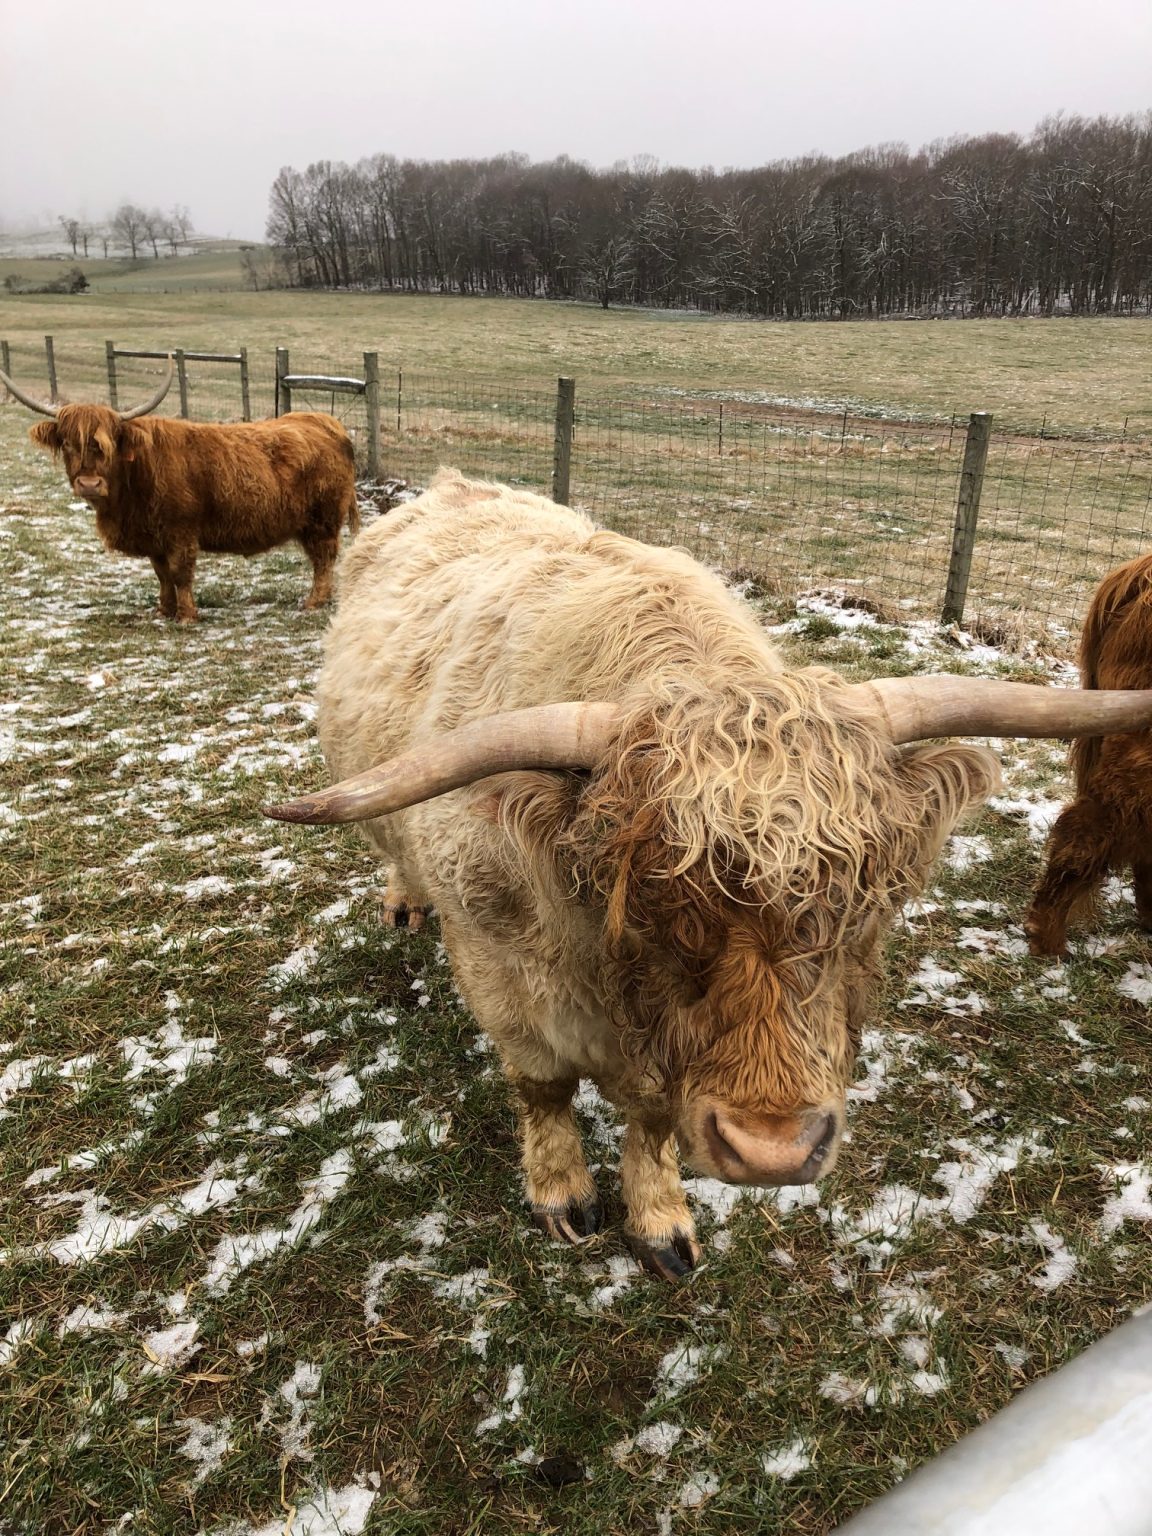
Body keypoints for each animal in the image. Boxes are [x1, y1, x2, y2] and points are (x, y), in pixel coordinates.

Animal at [1, 360, 359, 622]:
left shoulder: (181, 531)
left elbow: (180, 573)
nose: (89, 483)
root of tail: (327, 423)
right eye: (67, 444)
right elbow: (162, 575)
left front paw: (186, 616)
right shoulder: (154, 536)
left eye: (108, 444)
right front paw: (164, 610)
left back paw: (313, 602)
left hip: (322, 521)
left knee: (324, 559)